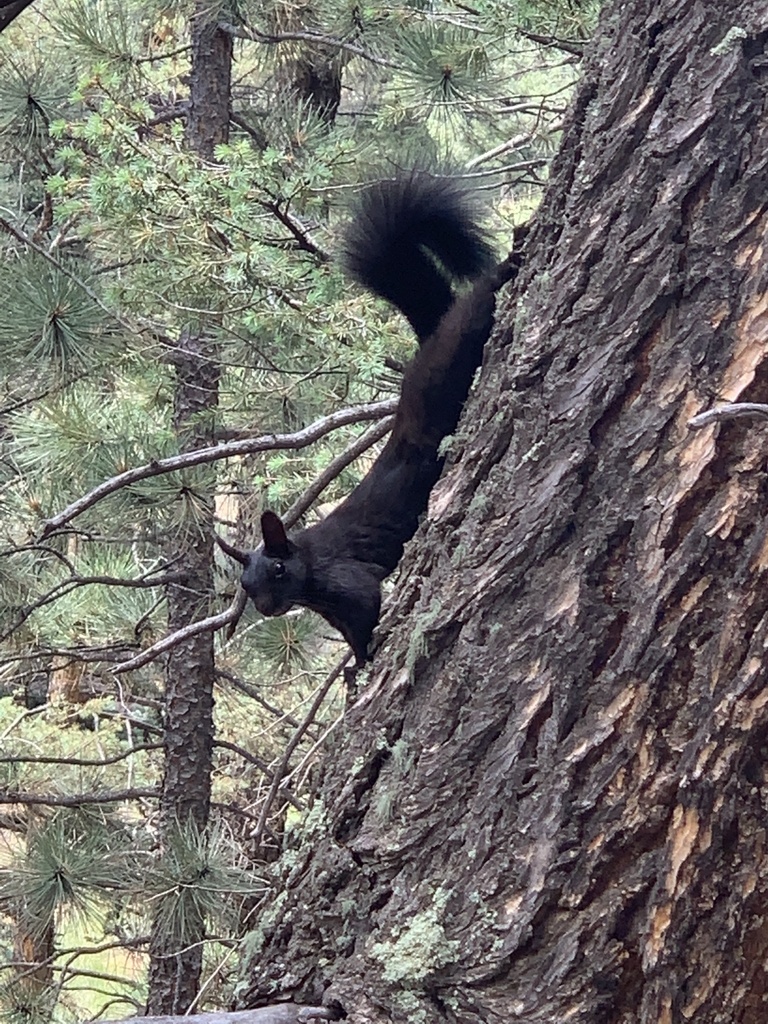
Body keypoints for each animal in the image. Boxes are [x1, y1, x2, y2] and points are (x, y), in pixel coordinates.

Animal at [218, 172, 527, 667]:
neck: (311, 575)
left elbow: (367, 616)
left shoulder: (348, 581)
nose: (266, 608)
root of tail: (431, 336)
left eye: (279, 569)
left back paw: (505, 267)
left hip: (458, 347)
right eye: (245, 584)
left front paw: (363, 665)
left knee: (477, 301)